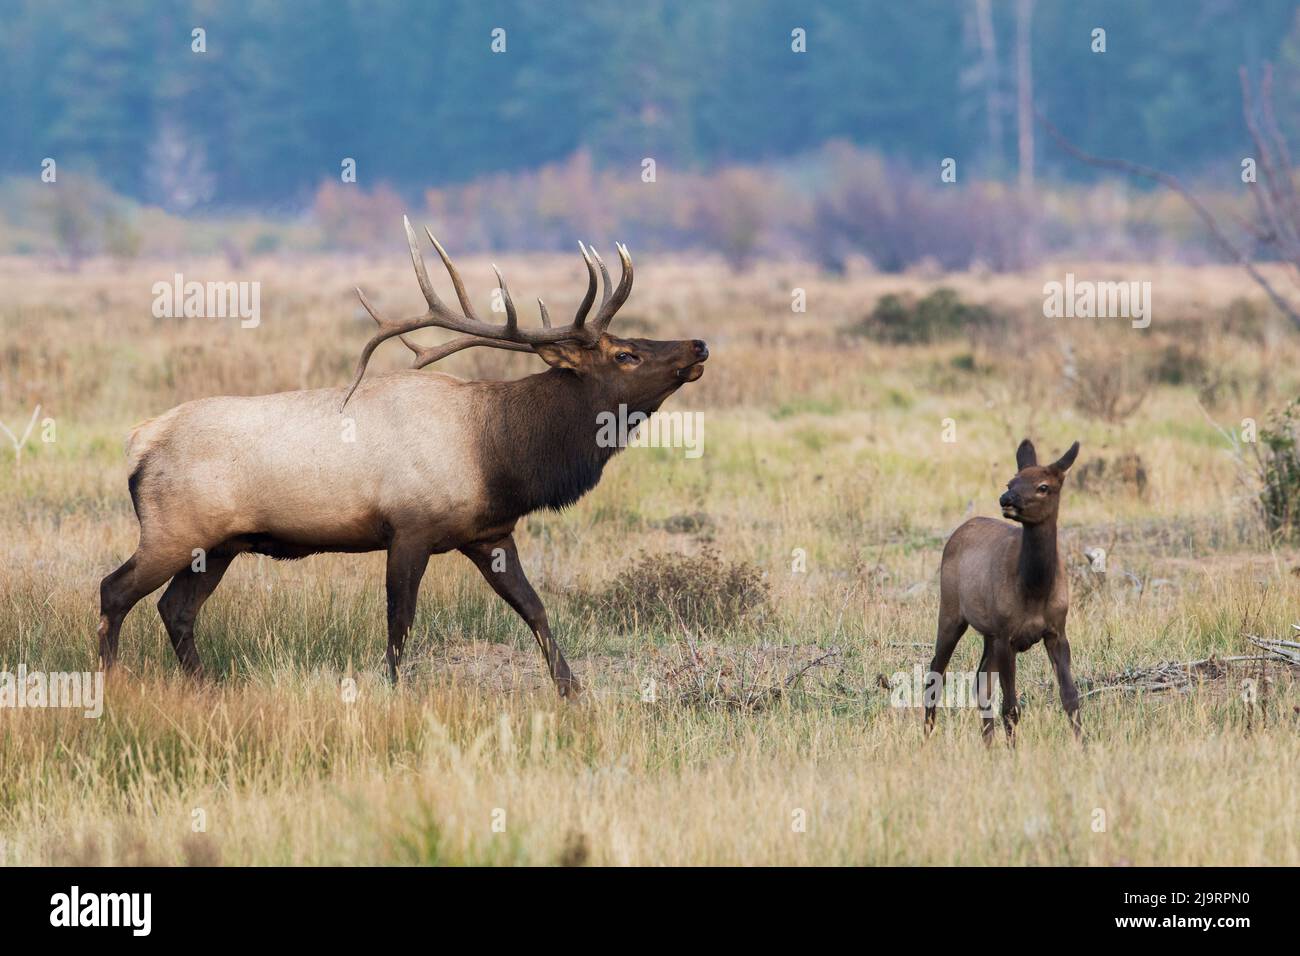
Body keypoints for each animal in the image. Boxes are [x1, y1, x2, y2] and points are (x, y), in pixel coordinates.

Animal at [97, 217, 708, 696]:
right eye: (625, 354)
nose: (698, 344)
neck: (501, 456)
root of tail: (139, 442)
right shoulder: (410, 527)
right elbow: (400, 621)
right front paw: (394, 690)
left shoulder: (489, 533)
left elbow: (533, 606)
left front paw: (572, 689)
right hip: (174, 529)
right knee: (115, 589)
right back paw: (109, 681)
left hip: (220, 544)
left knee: (176, 608)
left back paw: (207, 686)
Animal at [924, 438, 1082, 742]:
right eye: (1012, 481)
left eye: (1043, 486)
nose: (1007, 499)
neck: (1034, 589)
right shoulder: (1007, 634)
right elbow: (1010, 707)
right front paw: (1013, 750)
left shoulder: (1056, 630)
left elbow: (1070, 697)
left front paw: (1084, 744)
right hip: (951, 612)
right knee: (936, 672)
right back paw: (926, 737)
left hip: (988, 633)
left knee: (981, 682)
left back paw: (987, 744)